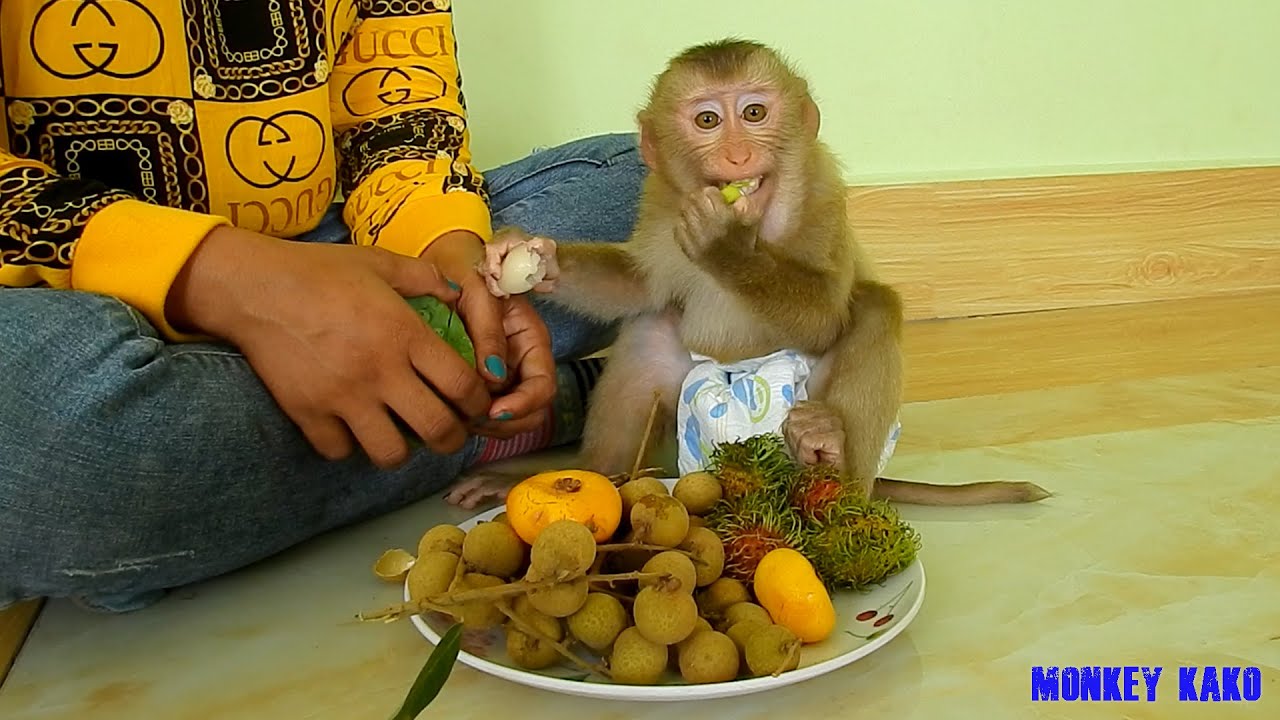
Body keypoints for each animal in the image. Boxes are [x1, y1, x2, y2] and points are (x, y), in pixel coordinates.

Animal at [443, 39, 1050, 510]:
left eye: (754, 114)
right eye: (708, 121)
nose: (737, 156)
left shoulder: (821, 193)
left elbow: (826, 317)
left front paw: (727, 245)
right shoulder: (659, 202)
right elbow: (639, 286)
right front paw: (534, 258)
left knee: (875, 307)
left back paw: (832, 462)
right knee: (651, 328)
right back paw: (584, 475)